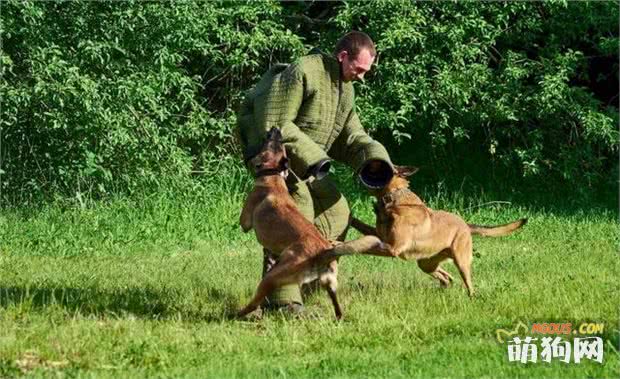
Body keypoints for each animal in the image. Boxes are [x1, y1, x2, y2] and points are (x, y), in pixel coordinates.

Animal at [352, 166, 524, 296]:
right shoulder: (381, 236)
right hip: (426, 263)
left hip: (461, 261)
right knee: (446, 276)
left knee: (467, 283)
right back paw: (446, 285)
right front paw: (350, 218)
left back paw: (470, 296)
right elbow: (361, 226)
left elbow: (366, 247)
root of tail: (465, 225)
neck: (394, 197)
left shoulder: (392, 247)